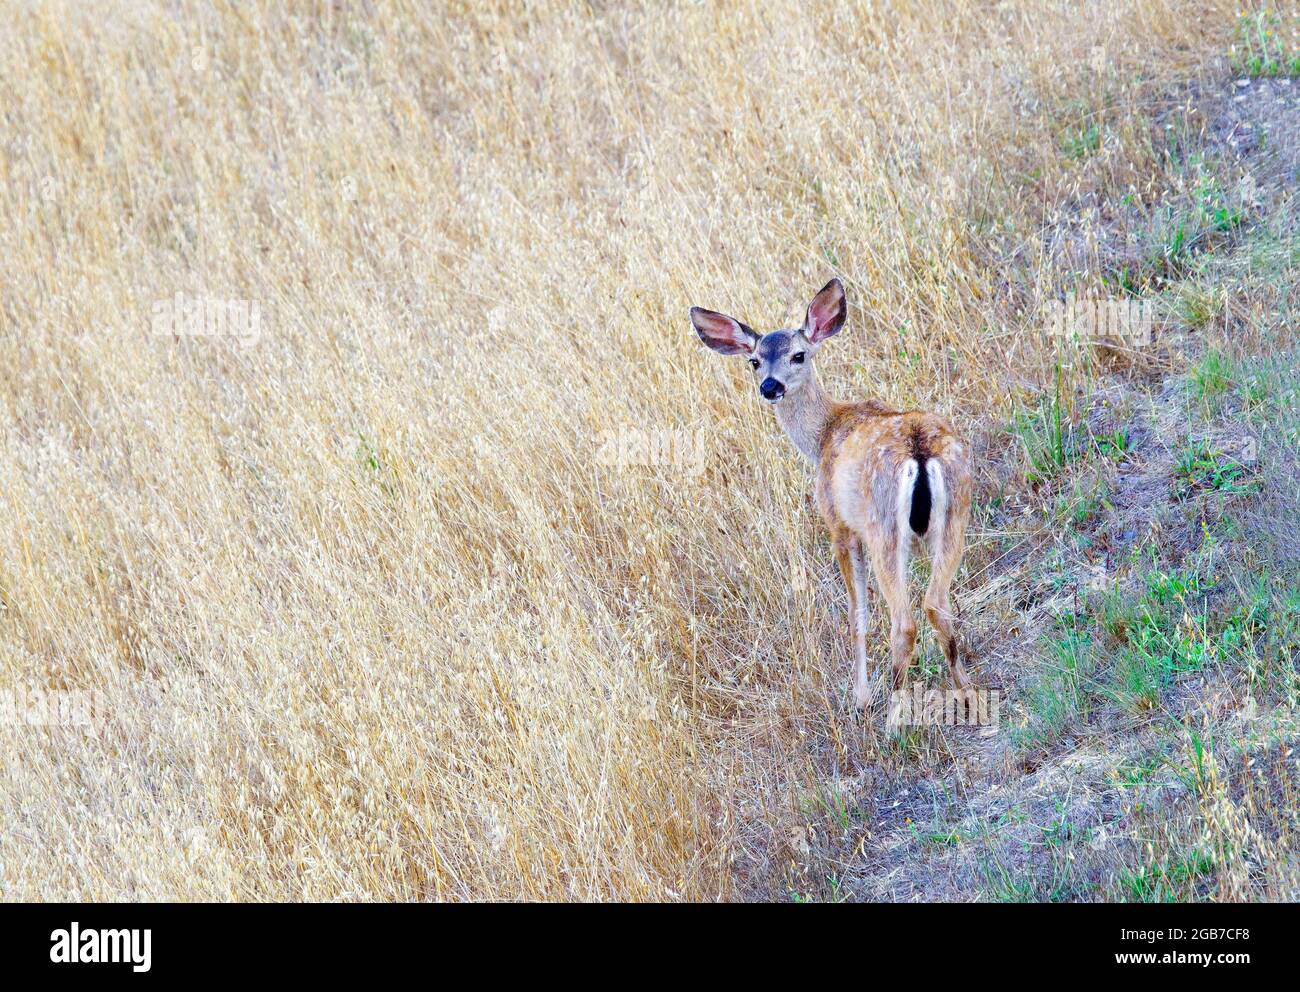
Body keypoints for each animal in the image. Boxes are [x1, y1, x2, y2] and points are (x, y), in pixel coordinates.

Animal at [690, 278, 973, 709]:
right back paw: (968, 696)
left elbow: (857, 615)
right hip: (956, 516)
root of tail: (919, 448)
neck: (824, 434)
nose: (770, 386)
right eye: (754, 361)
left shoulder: (838, 525)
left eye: (798, 355)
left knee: (904, 622)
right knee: (938, 606)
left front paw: (860, 697)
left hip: (883, 529)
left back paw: (892, 713)